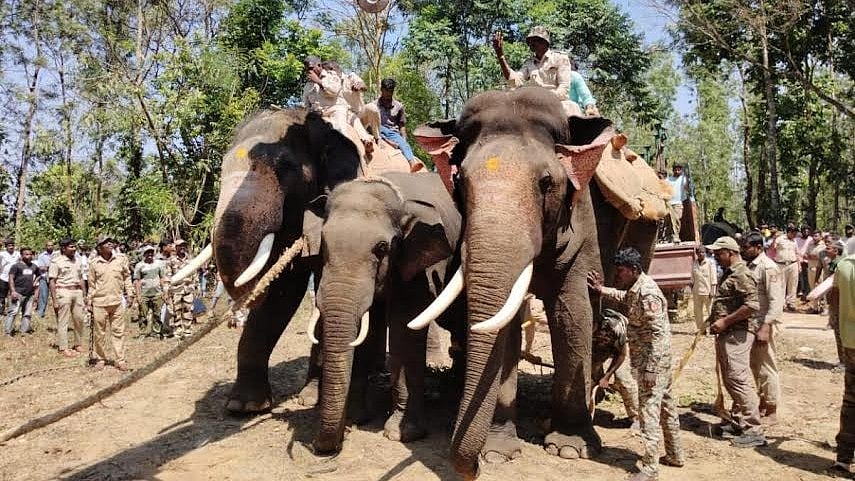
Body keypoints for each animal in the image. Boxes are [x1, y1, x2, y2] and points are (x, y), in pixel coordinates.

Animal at [311, 171, 462, 453]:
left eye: (382, 248)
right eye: (323, 243)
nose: (318, 445)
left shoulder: (416, 260)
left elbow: (404, 328)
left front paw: (401, 434)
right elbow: (365, 330)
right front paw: (356, 418)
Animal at [411, 86, 660, 479]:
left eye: (546, 183)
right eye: (460, 183)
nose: (473, 469)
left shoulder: (582, 221)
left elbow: (573, 313)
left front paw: (571, 448)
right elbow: (507, 326)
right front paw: (498, 453)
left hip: (645, 236)